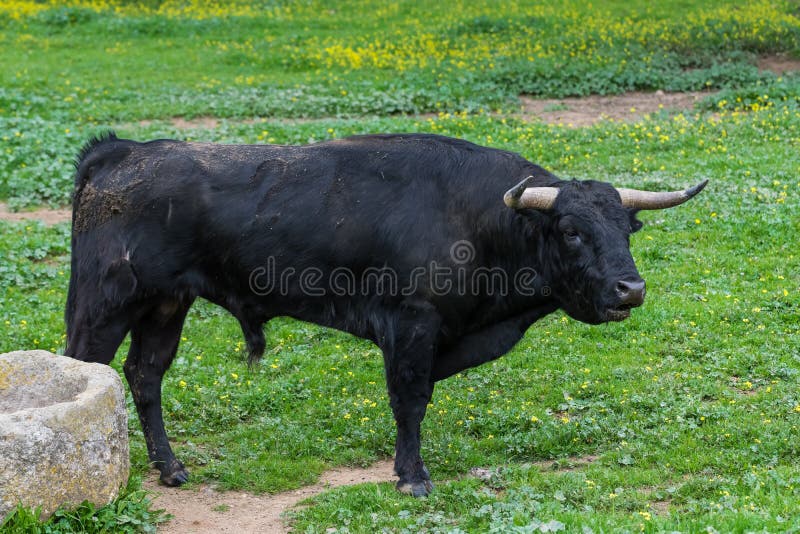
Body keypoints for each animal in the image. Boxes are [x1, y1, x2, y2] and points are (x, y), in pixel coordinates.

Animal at [65, 132, 706, 497]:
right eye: (571, 231)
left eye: (628, 228)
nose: (630, 289)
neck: (475, 218)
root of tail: (121, 152)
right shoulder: (411, 327)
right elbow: (410, 401)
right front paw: (412, 476)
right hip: (105, 303)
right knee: (86, 367)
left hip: (166, 305)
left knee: (145, 375)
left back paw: (170, 468)